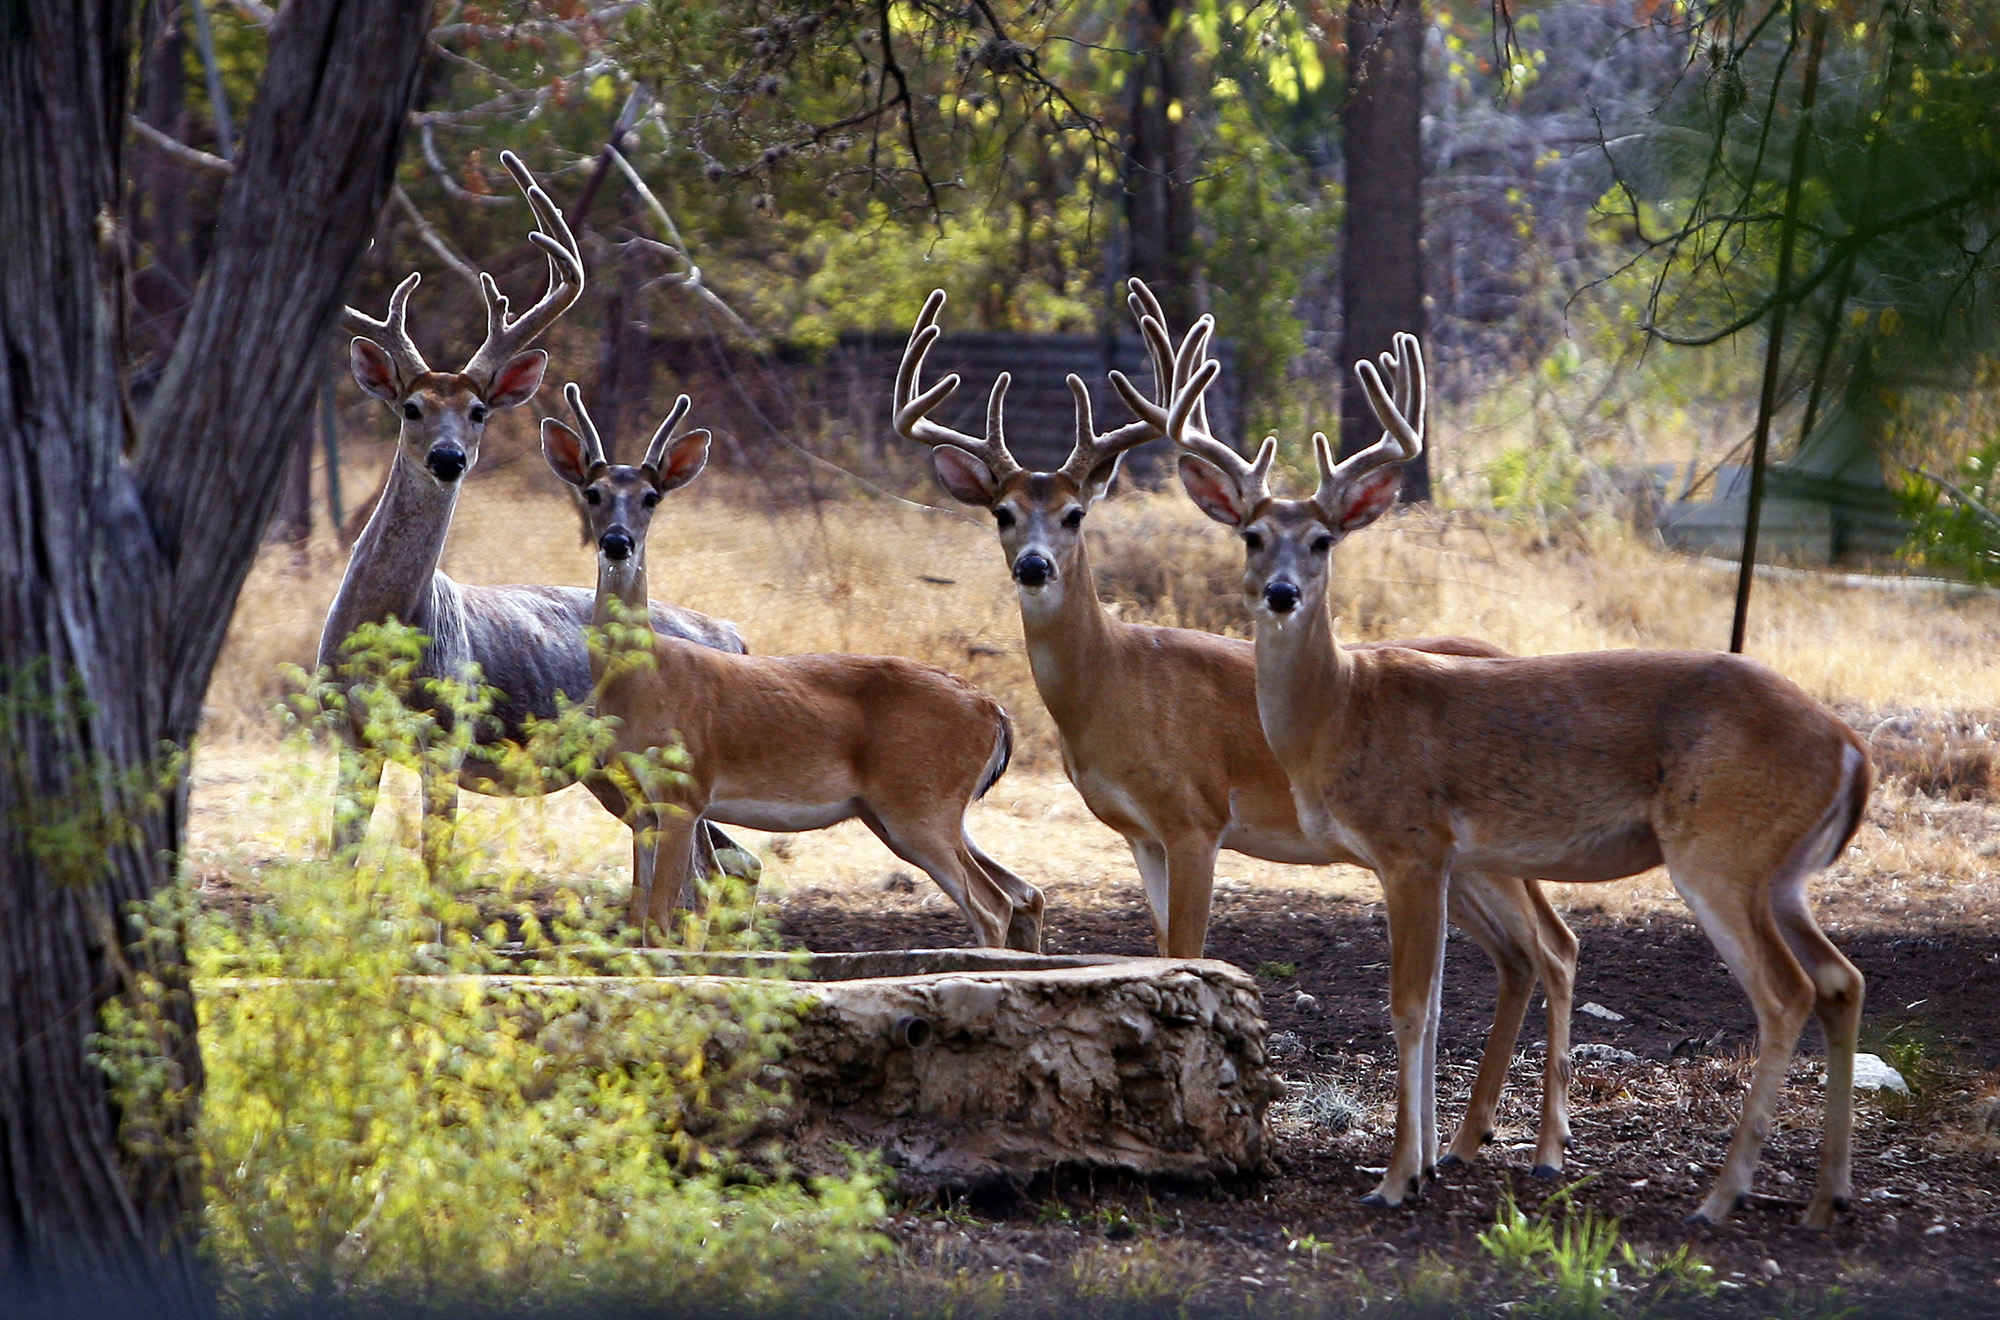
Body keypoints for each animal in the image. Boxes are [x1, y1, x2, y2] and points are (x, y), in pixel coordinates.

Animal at [319, 150, 756, 894]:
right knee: (720, 864)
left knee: (708, 871)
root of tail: (734, 635)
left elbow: (437, 871)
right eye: (411, 407)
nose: (448, 458)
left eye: (478, 411)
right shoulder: (350, 733)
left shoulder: (450, 734)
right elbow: (337, 864)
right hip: (615, 776)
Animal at [541, 383, 1044, 950]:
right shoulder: (641, 803)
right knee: (1024, 892)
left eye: (652, 497)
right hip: (904, 814)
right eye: (592, 492)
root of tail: (995, 711)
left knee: (993, 905)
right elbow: (636, 920)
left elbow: (658, 922)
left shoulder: (685, 793)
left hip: (920, 806)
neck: (647, 680)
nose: (616, 541)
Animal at [893, 283, 1582, 1177]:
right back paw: (1468, 1139)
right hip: (1454, 860)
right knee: (1522, 953)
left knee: (1554, 945)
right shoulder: (1140, 833)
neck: (1117, 683)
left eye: (1075, 514)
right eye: (1003, 513)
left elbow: (1188, 946)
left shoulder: (1196, 816)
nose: (1034, 566)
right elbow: (1158, 947)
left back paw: (1533, 1147)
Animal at [1171, 329, 1871, 1229]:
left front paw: (1395, 1179)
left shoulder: (1411, 844)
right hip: (1781, 875)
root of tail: (1850, 747)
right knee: (1842, 979)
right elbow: (1436, 1007)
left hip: (1722, 851)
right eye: (1252, 536)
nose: (1282, 593)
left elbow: (1410, 1006)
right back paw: (1828, 1194)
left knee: (1785, 993)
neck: (1340, 712)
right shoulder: (1431, 860)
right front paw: (1425, 1164)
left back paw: (1720, 1197)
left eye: (1324, 540)